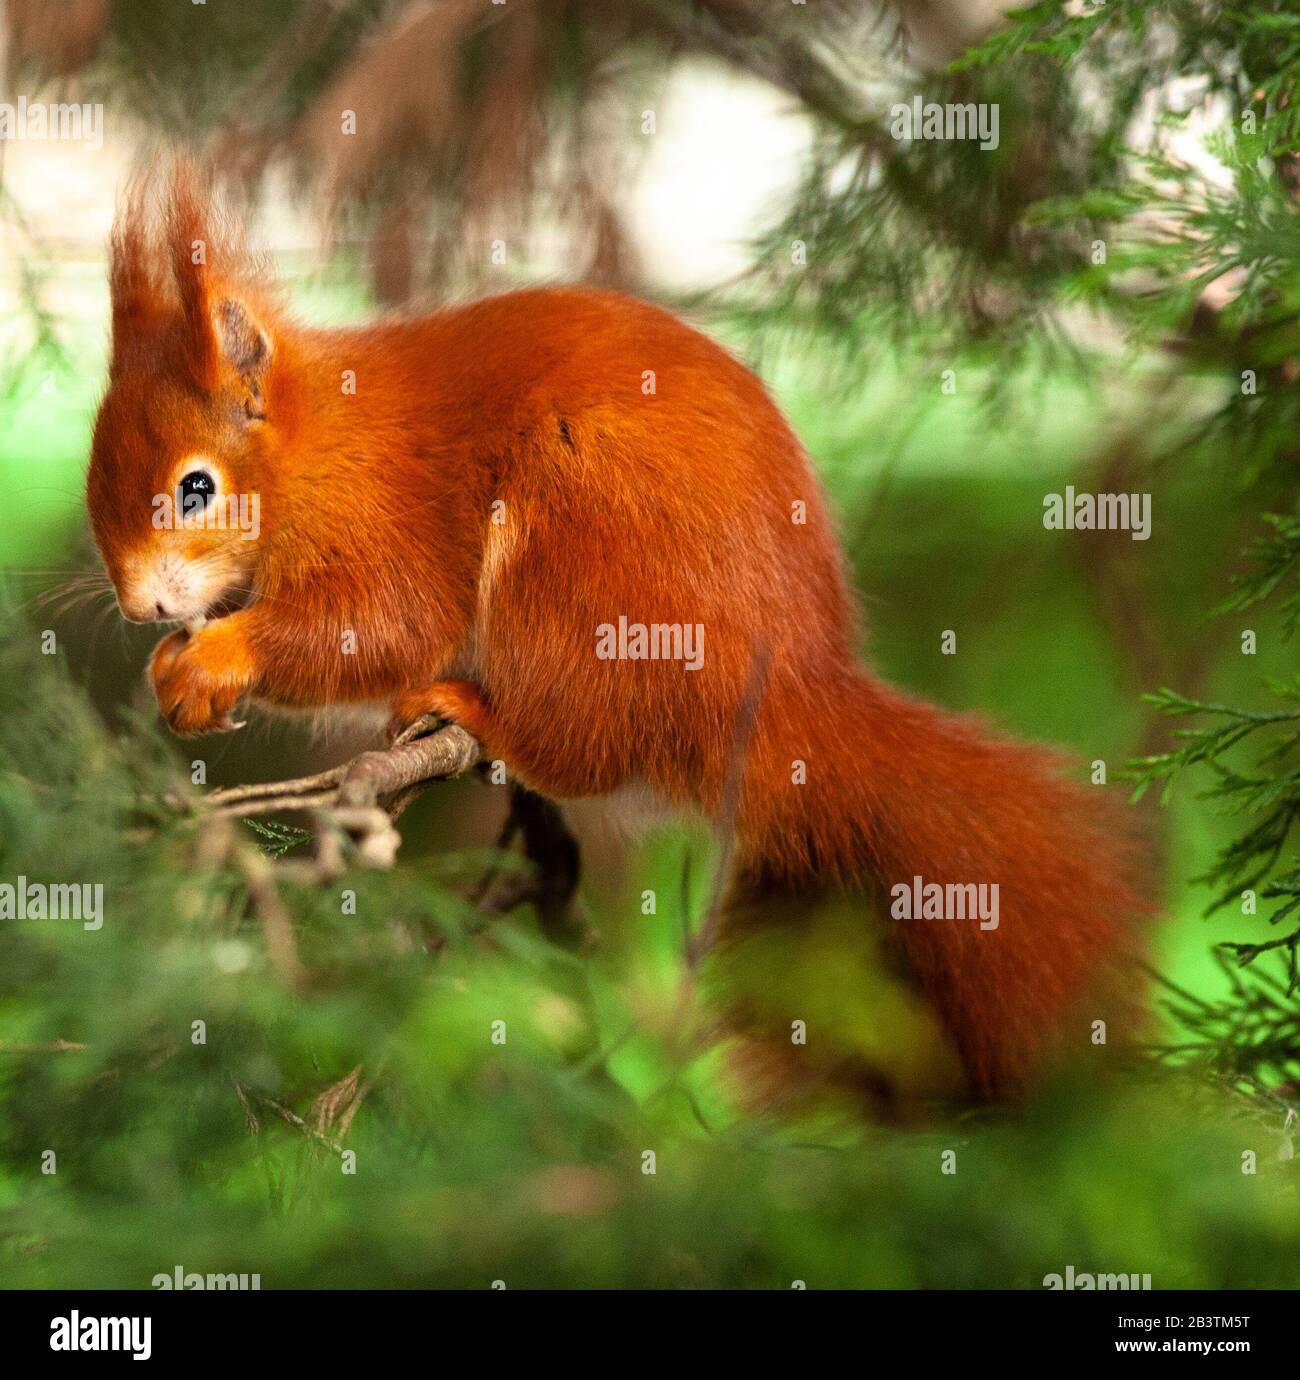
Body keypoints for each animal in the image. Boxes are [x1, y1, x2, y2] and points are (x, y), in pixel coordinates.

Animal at [86, 167, 1148, 1107]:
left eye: (196, 487)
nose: (142, 608)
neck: (311, 450)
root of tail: (789, 698)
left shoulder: (382, 521)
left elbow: (380, 625)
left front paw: (217, 659)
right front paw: (175, 665)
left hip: (580, 551)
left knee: (585, 742)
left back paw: (487, 720)